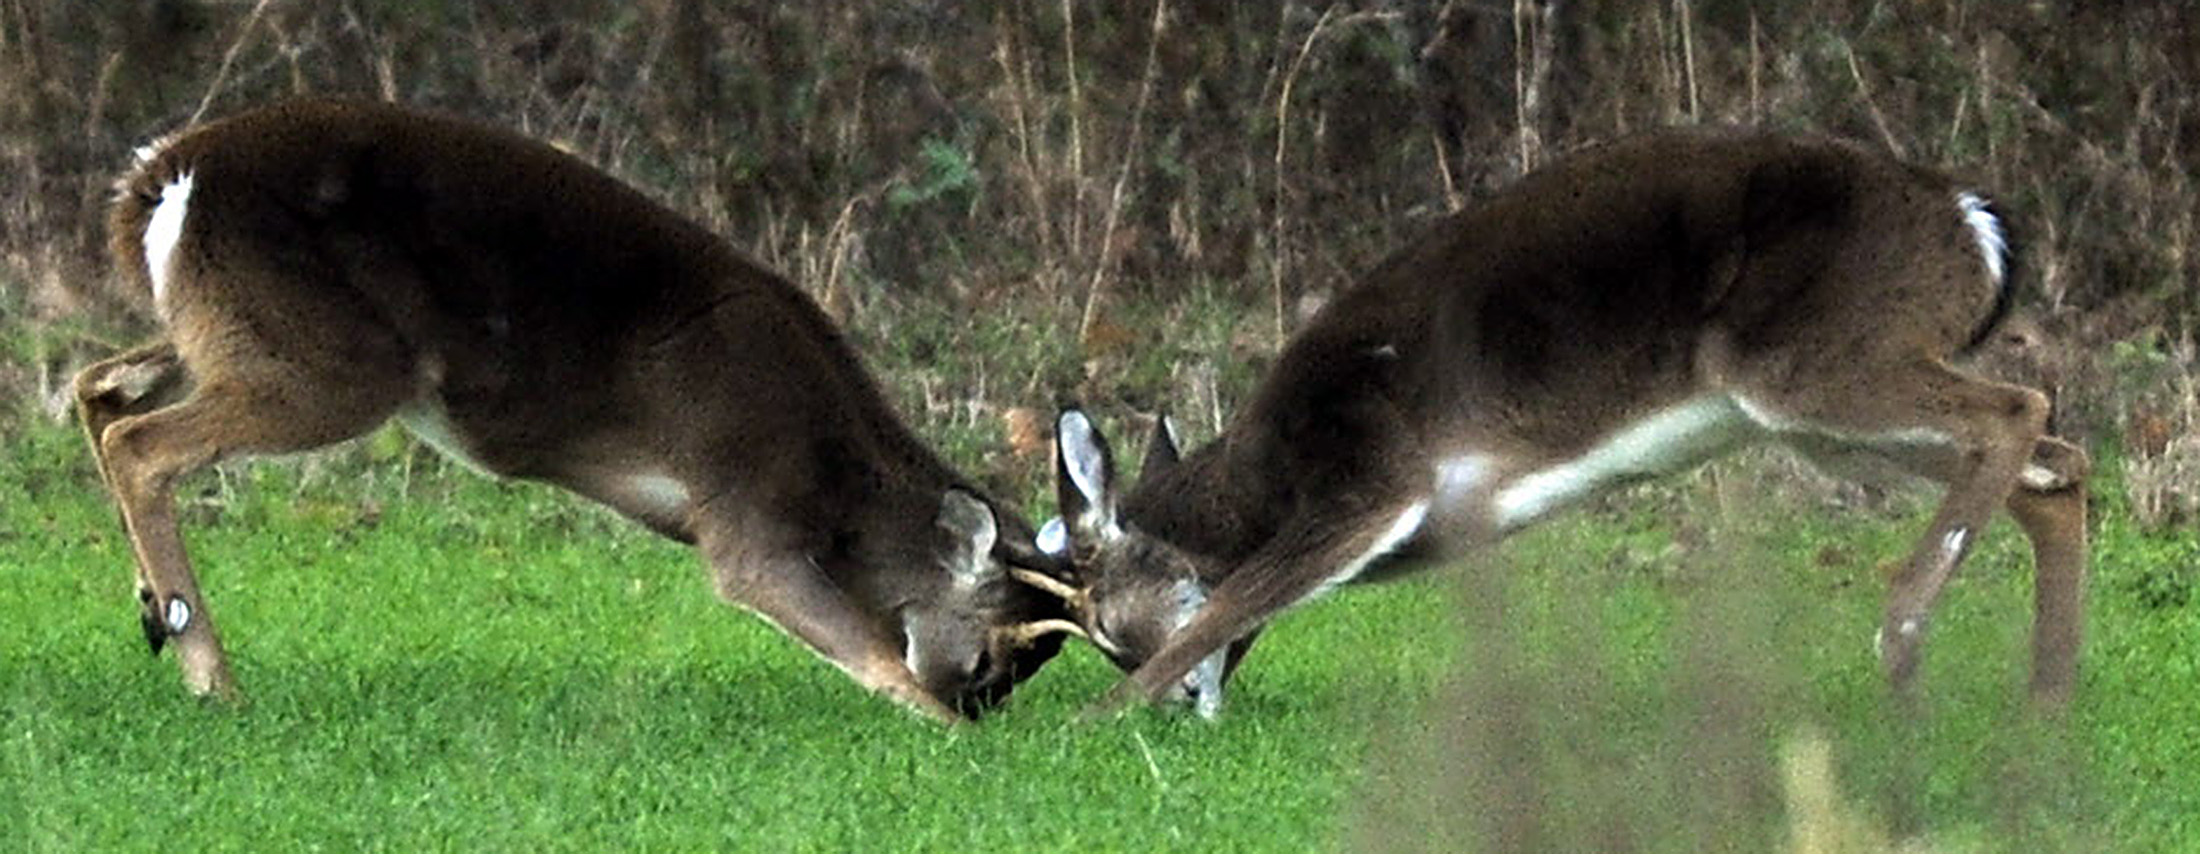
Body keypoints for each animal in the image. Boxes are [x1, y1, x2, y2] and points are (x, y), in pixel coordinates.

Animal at [73, 97, 1084, 723]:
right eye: (993, 657)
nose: (979, 702)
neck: (834, 484)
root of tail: (163, 180)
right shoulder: (741, 507)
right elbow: (859, 643)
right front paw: (955, 739)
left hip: (230, 329)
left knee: (96, 384)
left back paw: (152, 611)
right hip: (335, 361)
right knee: (139, 437)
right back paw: (211, 674)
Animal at [1023, 127, 2090, 719]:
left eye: (1100, 623)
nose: (1182, 710)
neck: (1260, 481)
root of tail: (1975, 225)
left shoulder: (1374, 472)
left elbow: (1238, 598)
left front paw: (1093, 720)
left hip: (1814, 361)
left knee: (2021, 409)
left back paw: (1904, 640)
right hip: (1820, 410)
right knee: (2056, 460)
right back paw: (2045, 700)